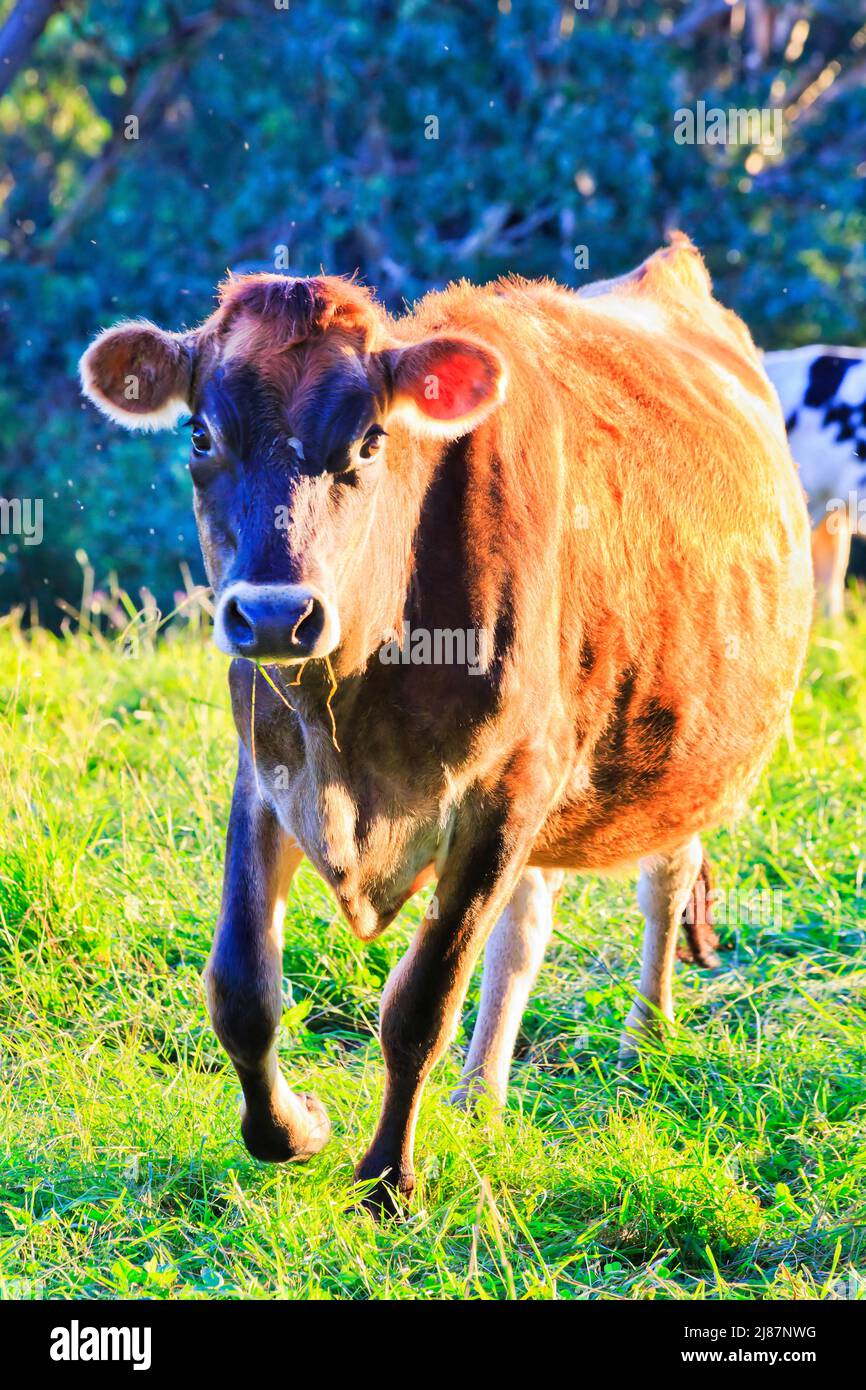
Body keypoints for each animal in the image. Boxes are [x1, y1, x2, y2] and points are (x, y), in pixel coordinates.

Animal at [79, 235, 813, 1215]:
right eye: (200, 435)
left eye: (370, 438)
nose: (274, 615)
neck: (352, 708)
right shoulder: (266, 774)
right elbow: (242, 987)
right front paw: (295, 1128)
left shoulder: (506, 789)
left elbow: (422, 1000)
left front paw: (388, 1180)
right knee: (526, 929)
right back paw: (478, 1096)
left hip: (679, 753)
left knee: (663, 879)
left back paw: (646, 1038)